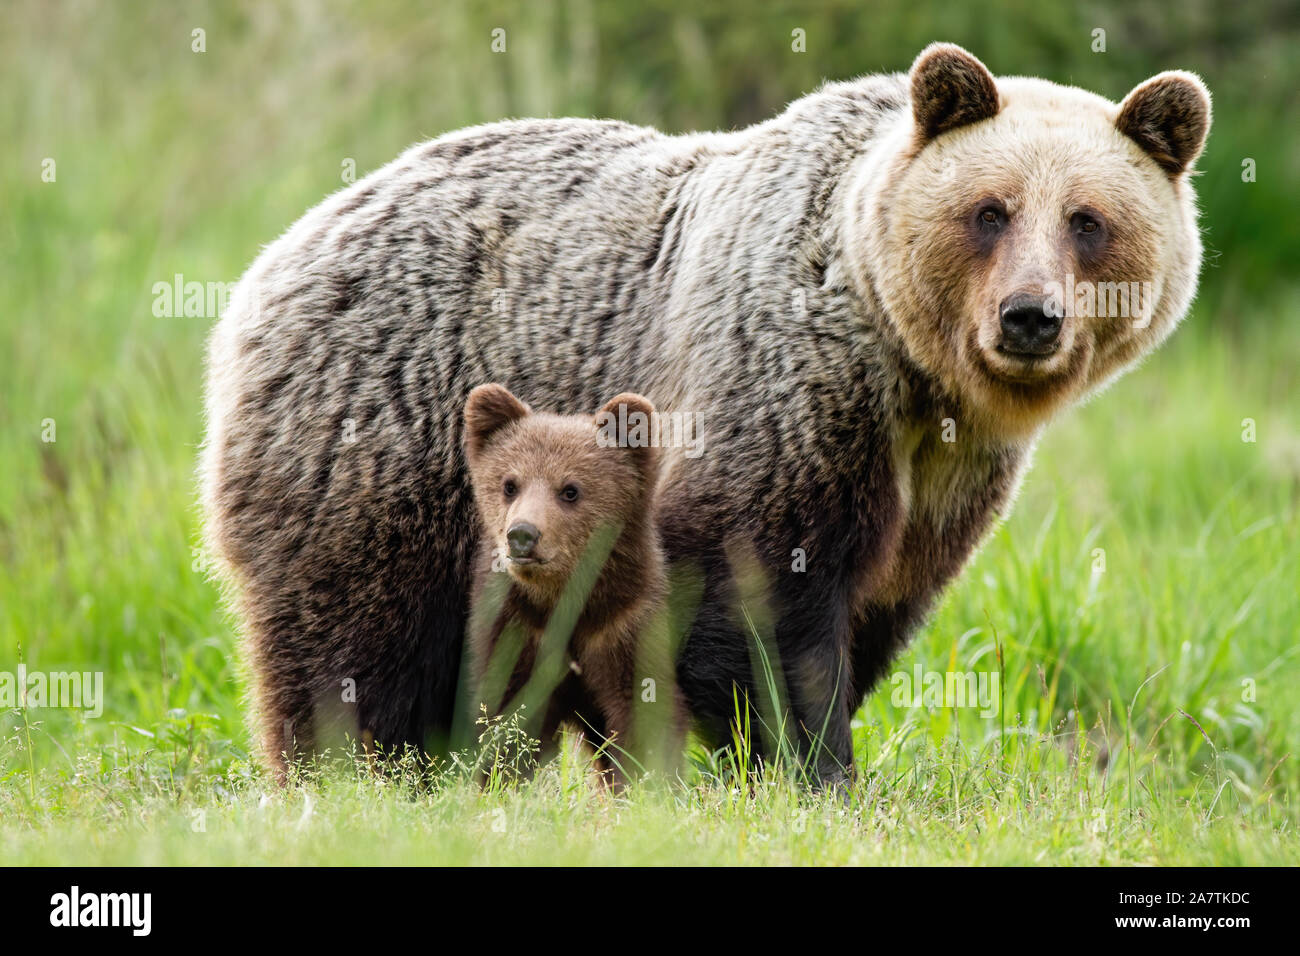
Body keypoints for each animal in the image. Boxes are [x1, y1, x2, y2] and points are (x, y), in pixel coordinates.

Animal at [462, 384, 685, 783]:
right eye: (509, 484)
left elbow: (643, 713)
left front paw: (647, 781)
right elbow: (508, 719)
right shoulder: (517, 629)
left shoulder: (623, 625)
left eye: (570, 490)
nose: (522, 535)